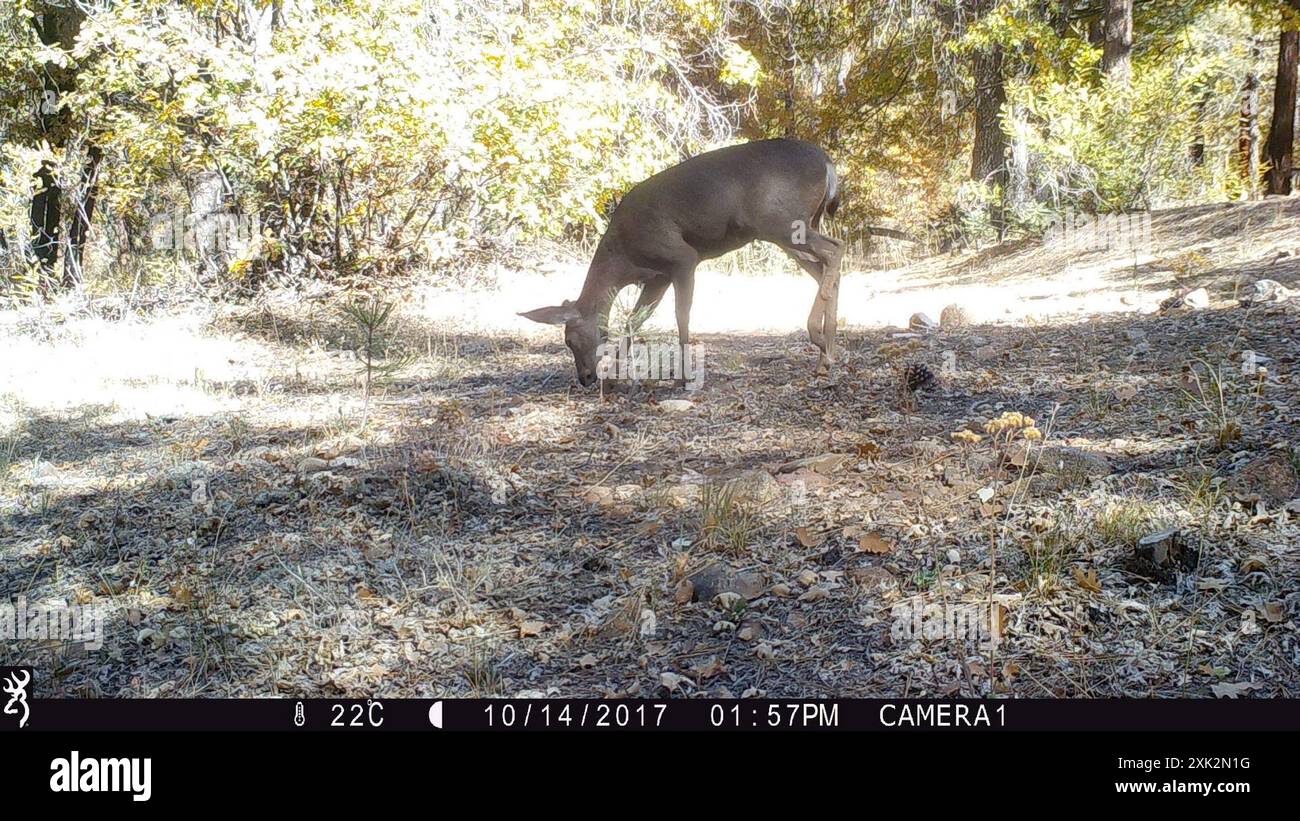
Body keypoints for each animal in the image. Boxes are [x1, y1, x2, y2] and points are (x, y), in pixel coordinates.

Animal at [520, 139, 845, 387]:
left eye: (571, 340)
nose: (585, 378)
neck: (624, 256)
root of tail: (827, 162)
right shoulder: (657, 277)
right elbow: (634, 320)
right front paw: (615, 375)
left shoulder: (682, 257)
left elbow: (681, 314)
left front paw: (684, 376)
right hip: (796, 227)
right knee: (824, 266)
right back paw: (825, 356)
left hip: (783, 223)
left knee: (835, 250)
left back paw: (818, 337)